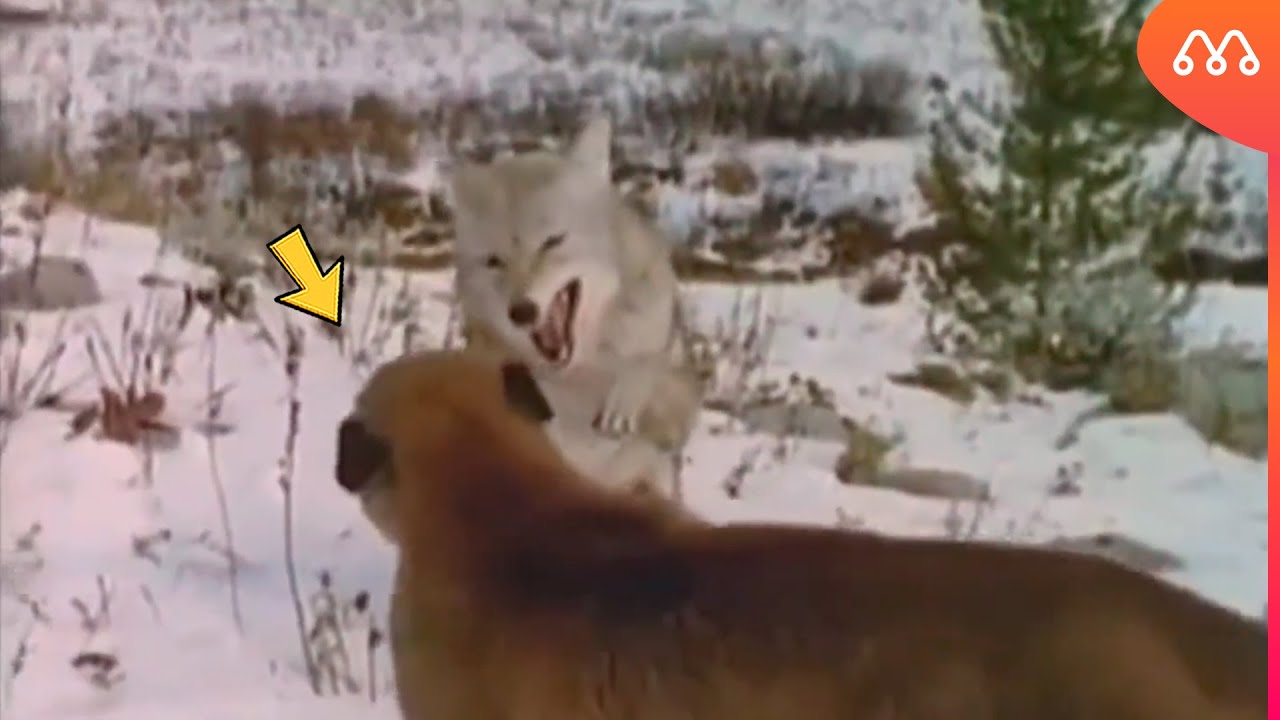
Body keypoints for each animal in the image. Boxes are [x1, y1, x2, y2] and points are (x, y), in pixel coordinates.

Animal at [448, 115, 703, 502]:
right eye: (494, 262)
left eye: (552, 242)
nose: (520, 312)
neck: (584, 372)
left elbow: (647, 366)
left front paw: (623, 404)